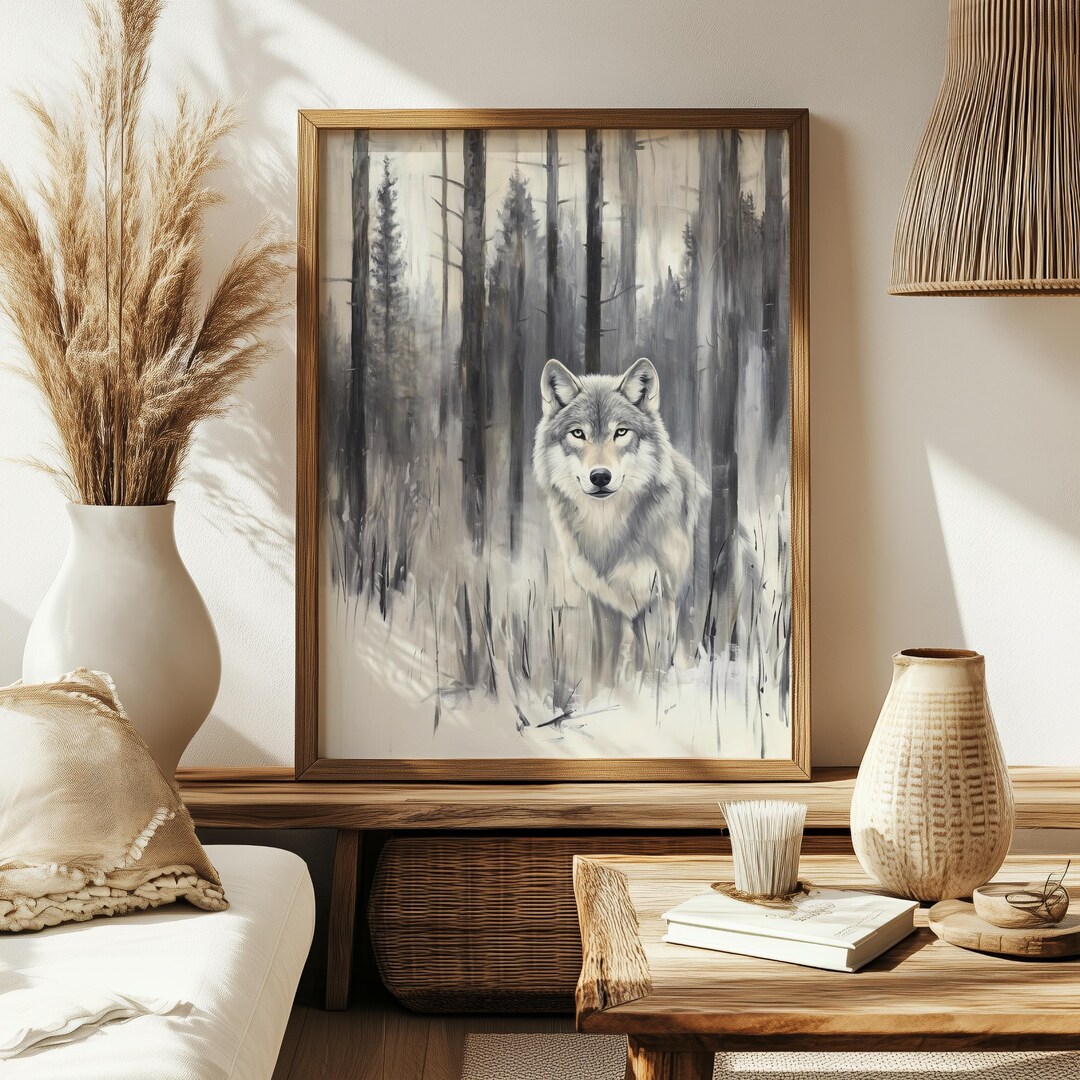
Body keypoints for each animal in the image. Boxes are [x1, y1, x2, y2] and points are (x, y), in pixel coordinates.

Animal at [533, 357, 708, 671]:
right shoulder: (602, 604)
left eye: (621, 432)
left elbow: (656, 668)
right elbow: (604, 666)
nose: (601, 476)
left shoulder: (664, 601)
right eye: (578, 433)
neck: (608, 529)